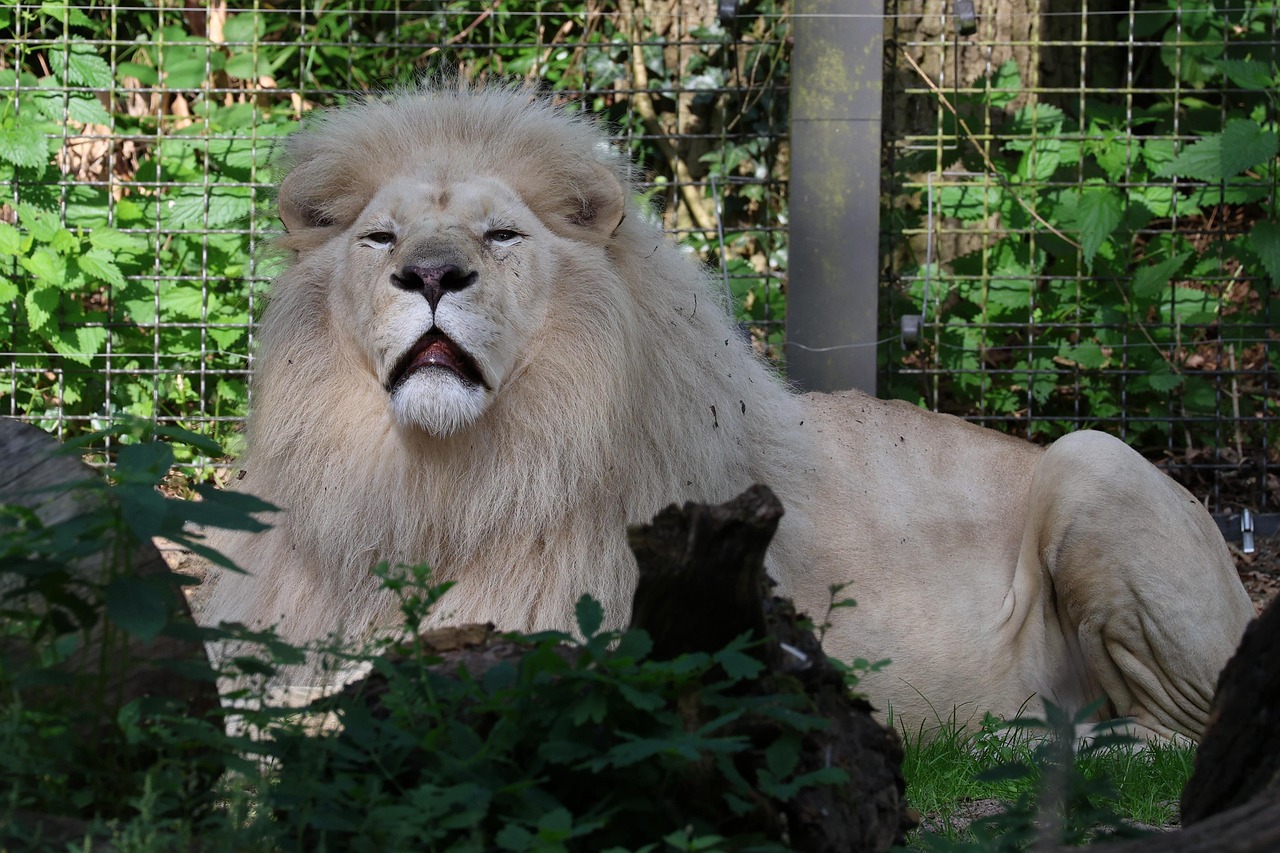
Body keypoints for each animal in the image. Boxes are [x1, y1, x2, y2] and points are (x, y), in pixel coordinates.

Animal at [201, 82, 1255, 741]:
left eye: (500, 235)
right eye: (381, 238)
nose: (428, 273)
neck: (432, 478)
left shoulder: (577, 648)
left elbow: (335, 693)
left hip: (1095, 458)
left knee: (1180, 728)